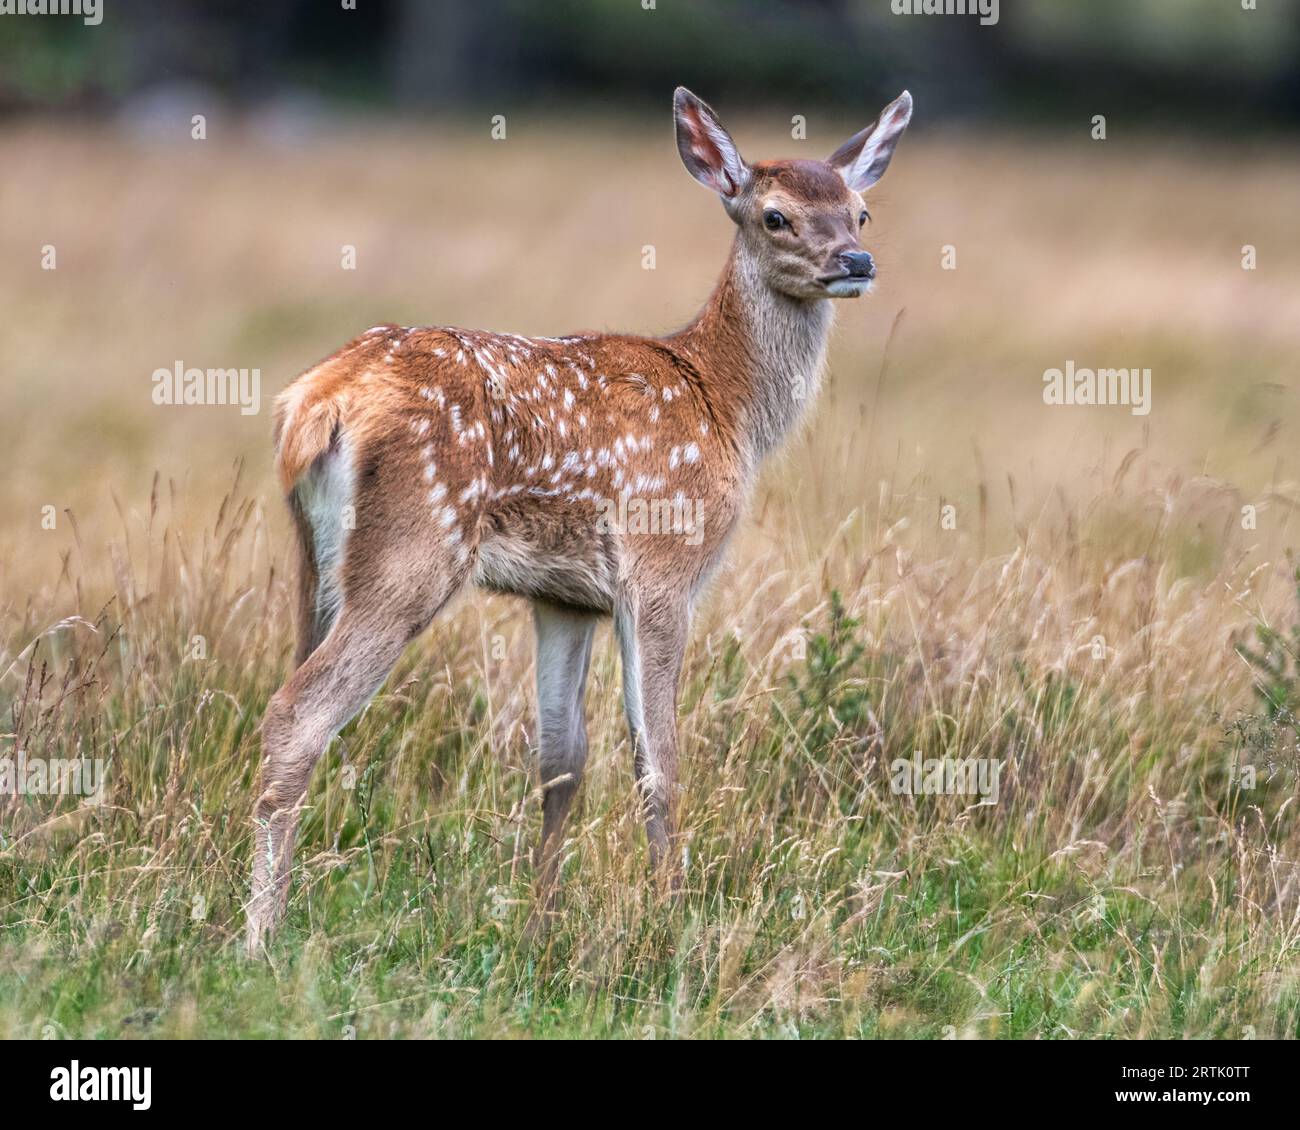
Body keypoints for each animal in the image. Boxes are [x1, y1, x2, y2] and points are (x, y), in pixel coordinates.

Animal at [245, 86, 912, 954]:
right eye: (775, 216)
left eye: (861, 212)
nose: (855, 263)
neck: (725, 405)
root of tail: (315, 405)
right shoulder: (662, 566)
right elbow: (658, 760)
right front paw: (671, 924)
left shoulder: (563, 598)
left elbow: (561, 765)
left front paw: (539, 927)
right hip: (413, 547)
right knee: (298, 714)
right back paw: (260, 938)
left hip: (313, 558)